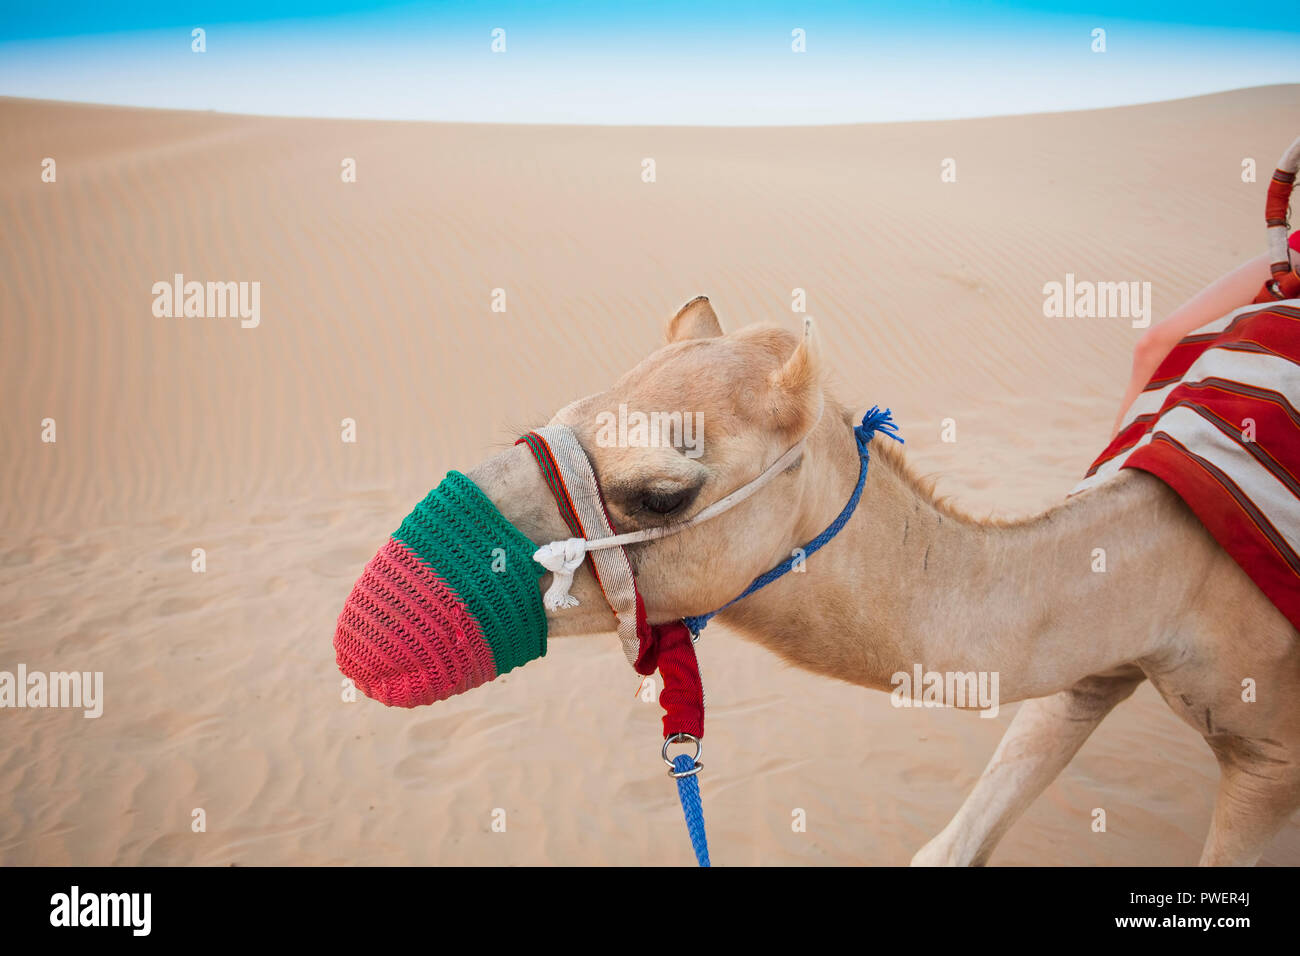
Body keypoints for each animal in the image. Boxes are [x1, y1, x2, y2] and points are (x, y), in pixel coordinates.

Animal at [466, 296, 1300, 866]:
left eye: (662, 493)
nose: (446, 546)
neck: (1171, 571)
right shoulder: (1091, 670)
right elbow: (948, 847)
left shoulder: (1271, 760)